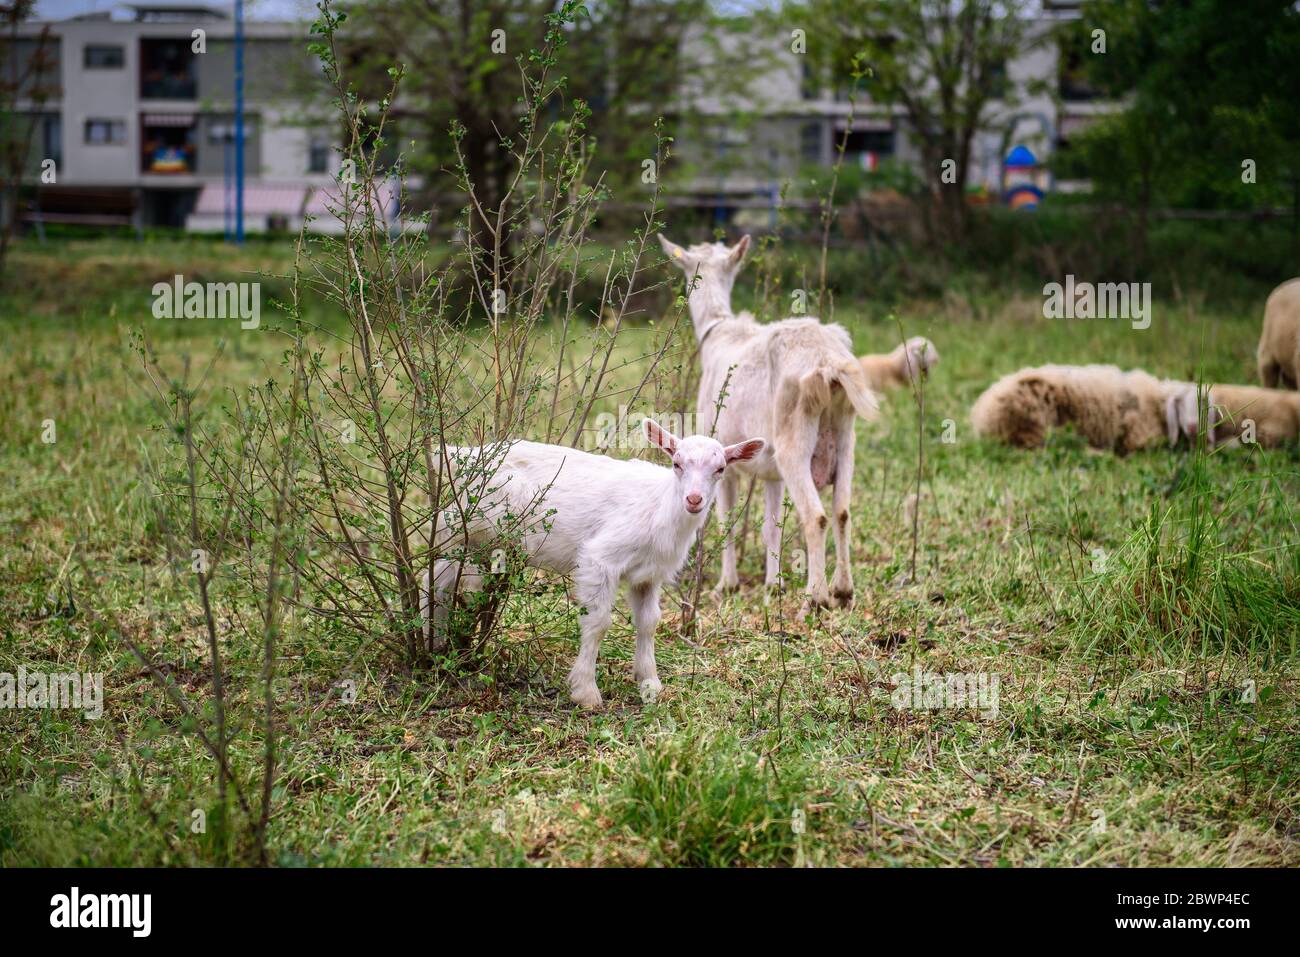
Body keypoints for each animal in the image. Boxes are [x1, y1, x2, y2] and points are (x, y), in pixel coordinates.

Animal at [421, 419, 765, 709]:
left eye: (720, 468)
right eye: (676, 463)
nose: (694, 500)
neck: (661, 506)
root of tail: (460, 455)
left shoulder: (649, 575)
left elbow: (649, 622)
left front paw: (649, 683)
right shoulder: (601, 558)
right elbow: (598, 622)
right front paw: (585, 691)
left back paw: (438, 644)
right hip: (459, 528)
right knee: (435, 578)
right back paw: (431, 642)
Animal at [658, 233, 879, 611]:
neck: (720, 331)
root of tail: (829, 363)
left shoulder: (724, 455)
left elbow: (726, 521)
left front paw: (727, 585)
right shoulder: (771, 470)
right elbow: (771, 526)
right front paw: (773, 585)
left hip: (795, 436)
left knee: (816, 516)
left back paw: (814, 599)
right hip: (845, 434)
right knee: (842, 511)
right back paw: (843, 591)